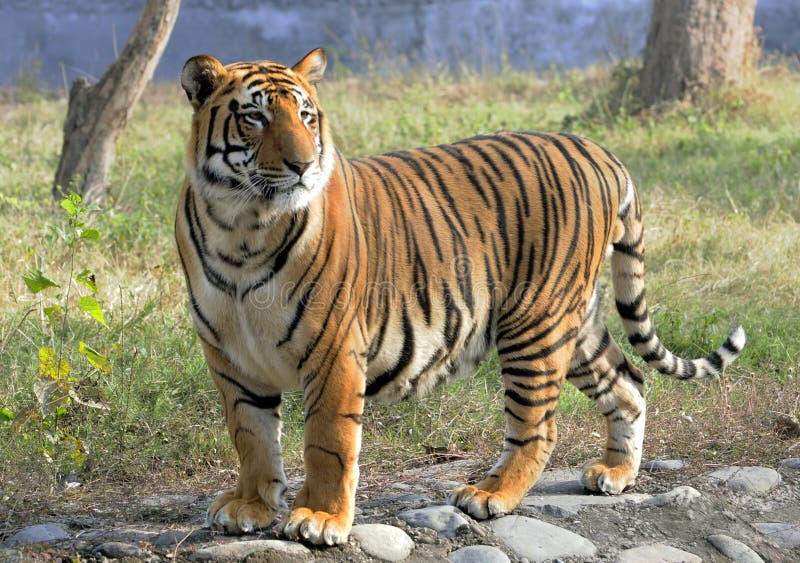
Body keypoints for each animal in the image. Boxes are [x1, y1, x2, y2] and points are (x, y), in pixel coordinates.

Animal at [175, 47, 746, 546]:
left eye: (306, 117)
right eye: (255, 117)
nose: (302, 165)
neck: (242, 228)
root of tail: (596, 149)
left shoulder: (334, 349)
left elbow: (328, 442)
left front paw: (319, 518)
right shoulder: (229, 355)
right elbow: (250, 436)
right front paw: (250, 506)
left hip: (535, 324)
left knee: (538, 425)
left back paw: (491, 494)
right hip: (574, 321)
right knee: (628, 379)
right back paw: (616, 473)